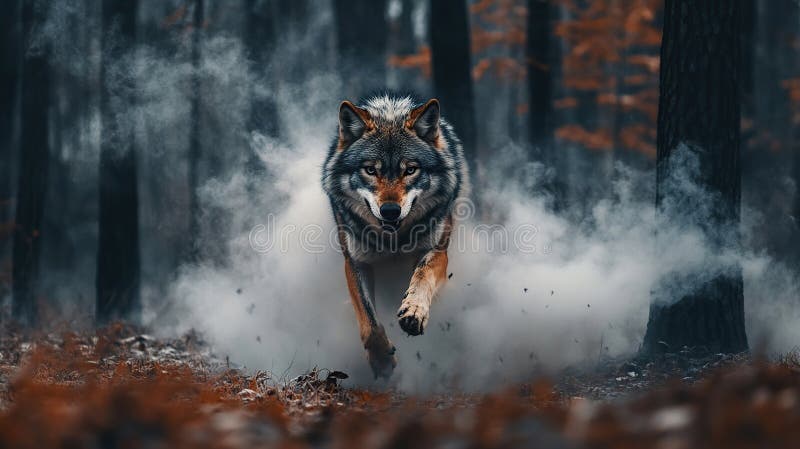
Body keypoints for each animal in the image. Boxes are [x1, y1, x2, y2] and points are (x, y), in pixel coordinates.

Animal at [322, 94, 469, 379]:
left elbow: (422, 276)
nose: (390, 210)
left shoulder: (437, 251)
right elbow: (369, 322)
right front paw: (382, 361)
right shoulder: (356, 261)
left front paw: (414, 312)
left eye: (410, 170)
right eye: (370, 170)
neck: (393, 241)